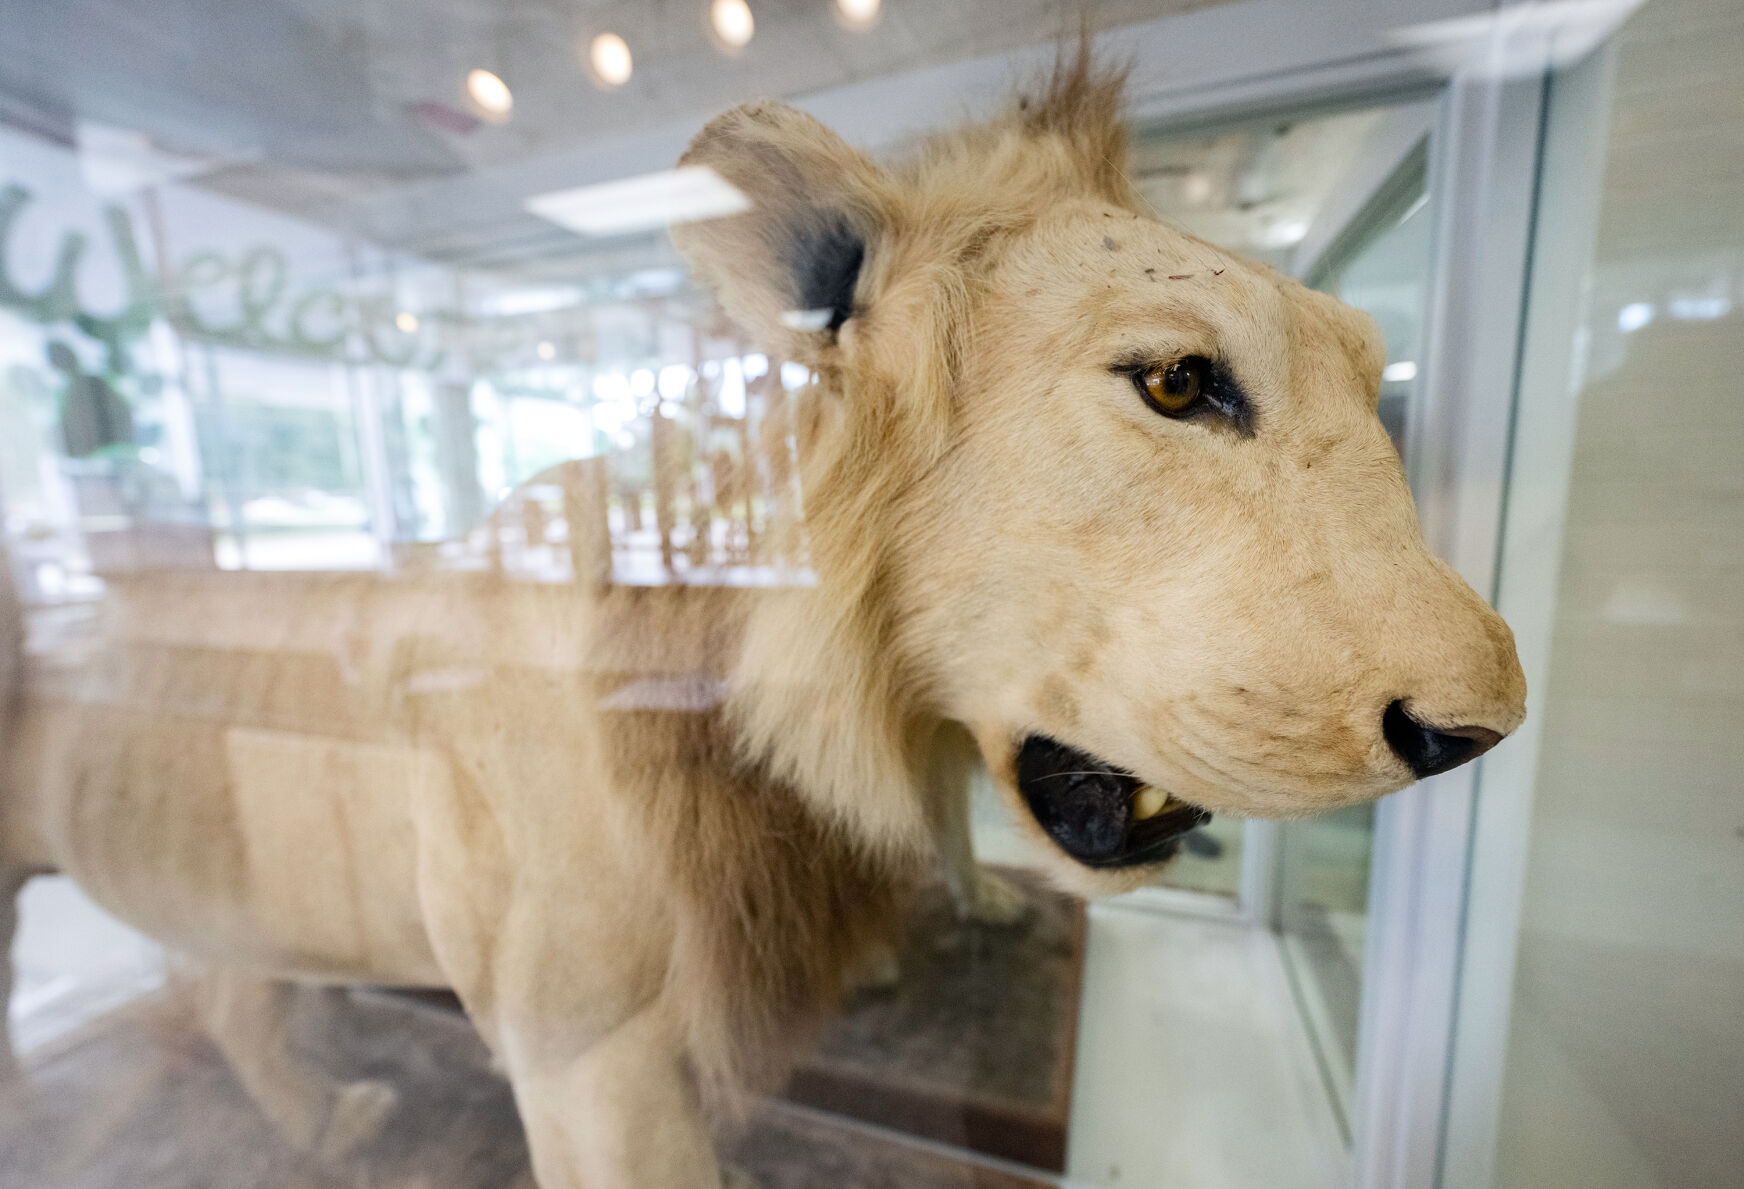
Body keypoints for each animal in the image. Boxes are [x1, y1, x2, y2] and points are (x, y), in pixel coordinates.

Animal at [0, 54, 1524, 1189]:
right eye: (1176, 383)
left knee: (231, 990)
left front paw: (964, 908)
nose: (1485, 730)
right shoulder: (584, 1056)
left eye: (1367, 377)